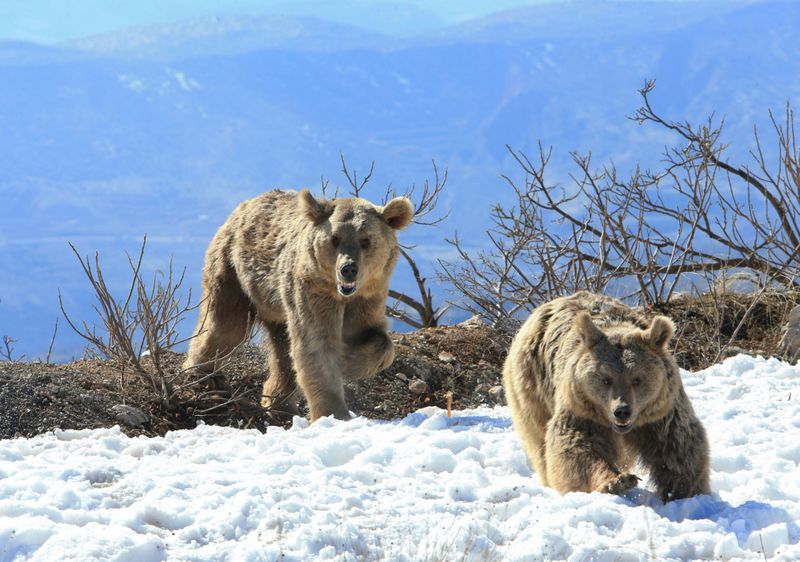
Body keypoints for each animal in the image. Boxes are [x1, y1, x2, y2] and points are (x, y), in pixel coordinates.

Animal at [183, 188, 414, 422]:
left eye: (365, 240)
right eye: (335, 238)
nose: (348, 269)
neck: (341, 294)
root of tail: (244, 205)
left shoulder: (369, 297)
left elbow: (376, 338)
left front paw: (349, 360)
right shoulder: (313, 290)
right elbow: (316, 344)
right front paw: (335, 412)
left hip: (274, 304)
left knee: (281, 350)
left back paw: (279, 403)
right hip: (234, 273)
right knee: (226, 326)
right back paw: (203, 374)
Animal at [502, 291, 710, 501]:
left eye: (637, 379)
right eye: (606, 379)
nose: (622, 411)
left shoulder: (660, 412)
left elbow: (679, 447)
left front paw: (683, 489)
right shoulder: (584, 410)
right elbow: (577, 447)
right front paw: (617, 481)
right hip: (533, 384)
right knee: (539, 438)